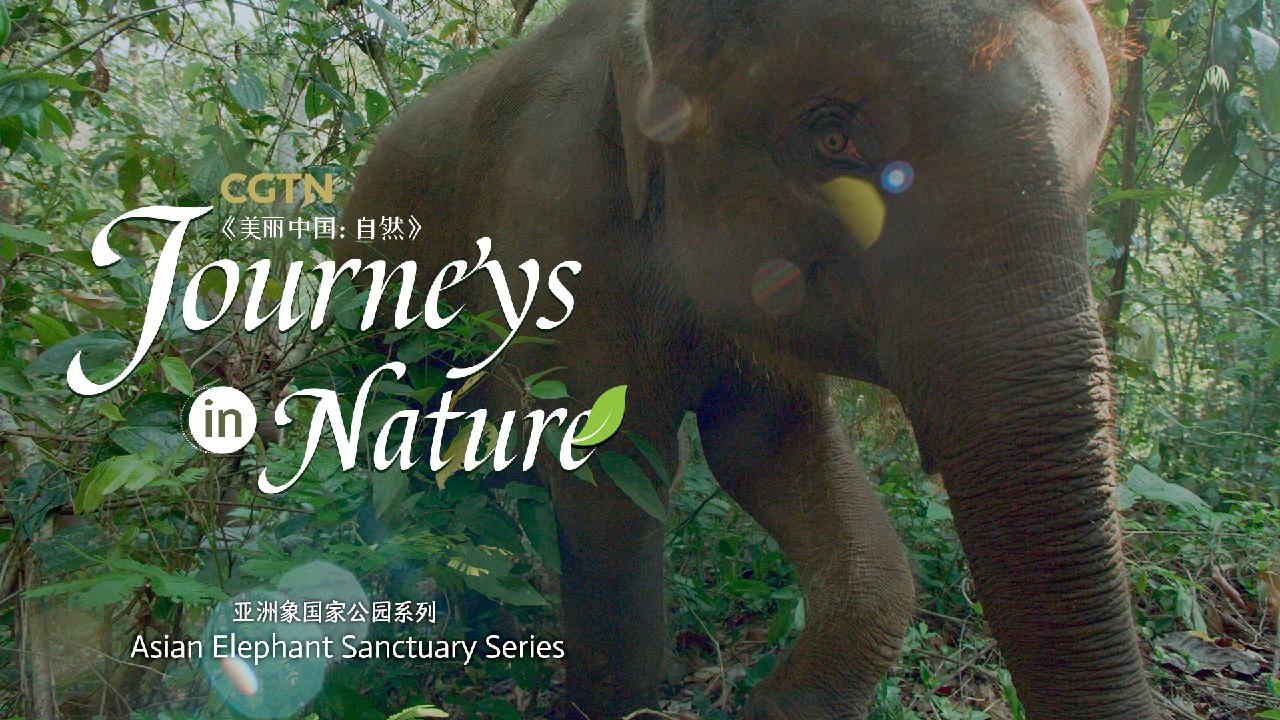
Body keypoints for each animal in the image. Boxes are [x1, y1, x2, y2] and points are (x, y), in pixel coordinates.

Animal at [337, 0, 1159, 717]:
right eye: (832, 140)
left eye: (1094, 152)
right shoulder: (553, 226)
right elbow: (611, 479)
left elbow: (764, 447)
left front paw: (771, 706)